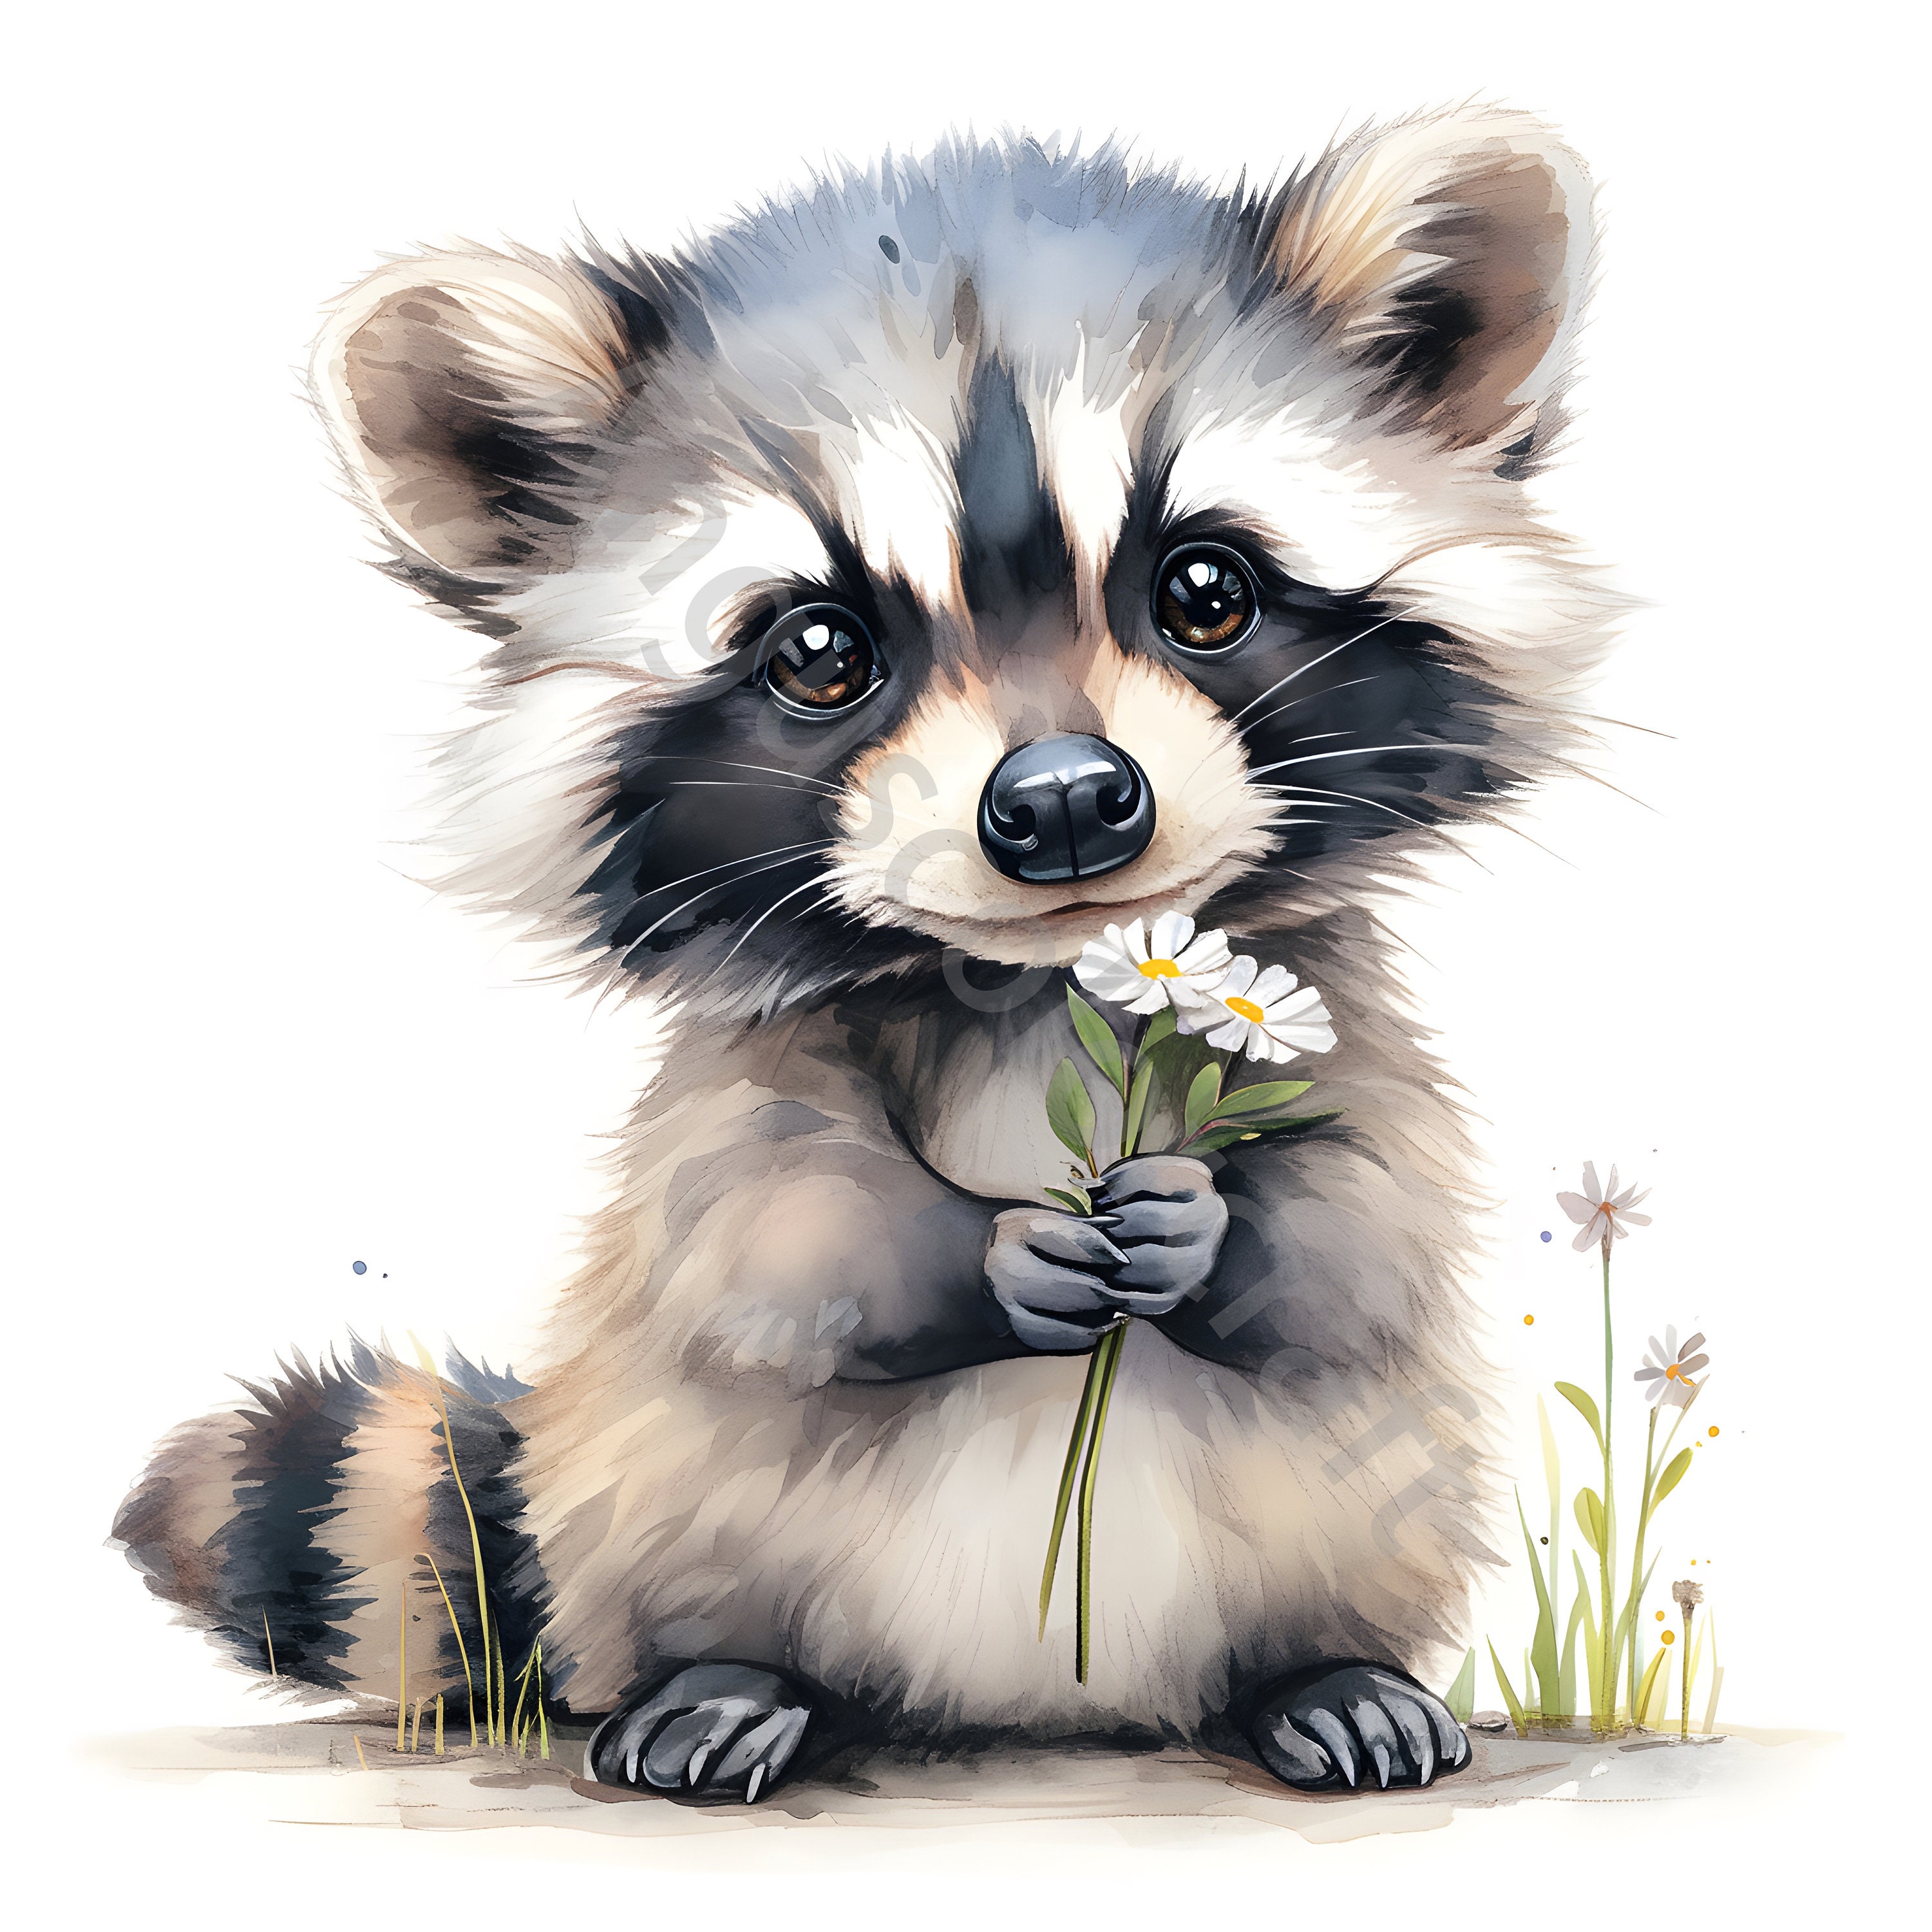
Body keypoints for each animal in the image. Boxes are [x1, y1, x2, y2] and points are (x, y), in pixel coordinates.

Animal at [115, 107, 1619, 1801]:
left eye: (1203, 590)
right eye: (822, 650)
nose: (1064, 804)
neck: (1044, 983)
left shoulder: (1324, 1001)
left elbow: (1363, 1214)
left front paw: (1209, 1219)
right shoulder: (752, 1074)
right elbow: (775, 1229)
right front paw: (991, 1248)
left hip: (1370, 1491)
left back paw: (1320, 1671)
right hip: (643, 1483)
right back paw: (727, 1672)